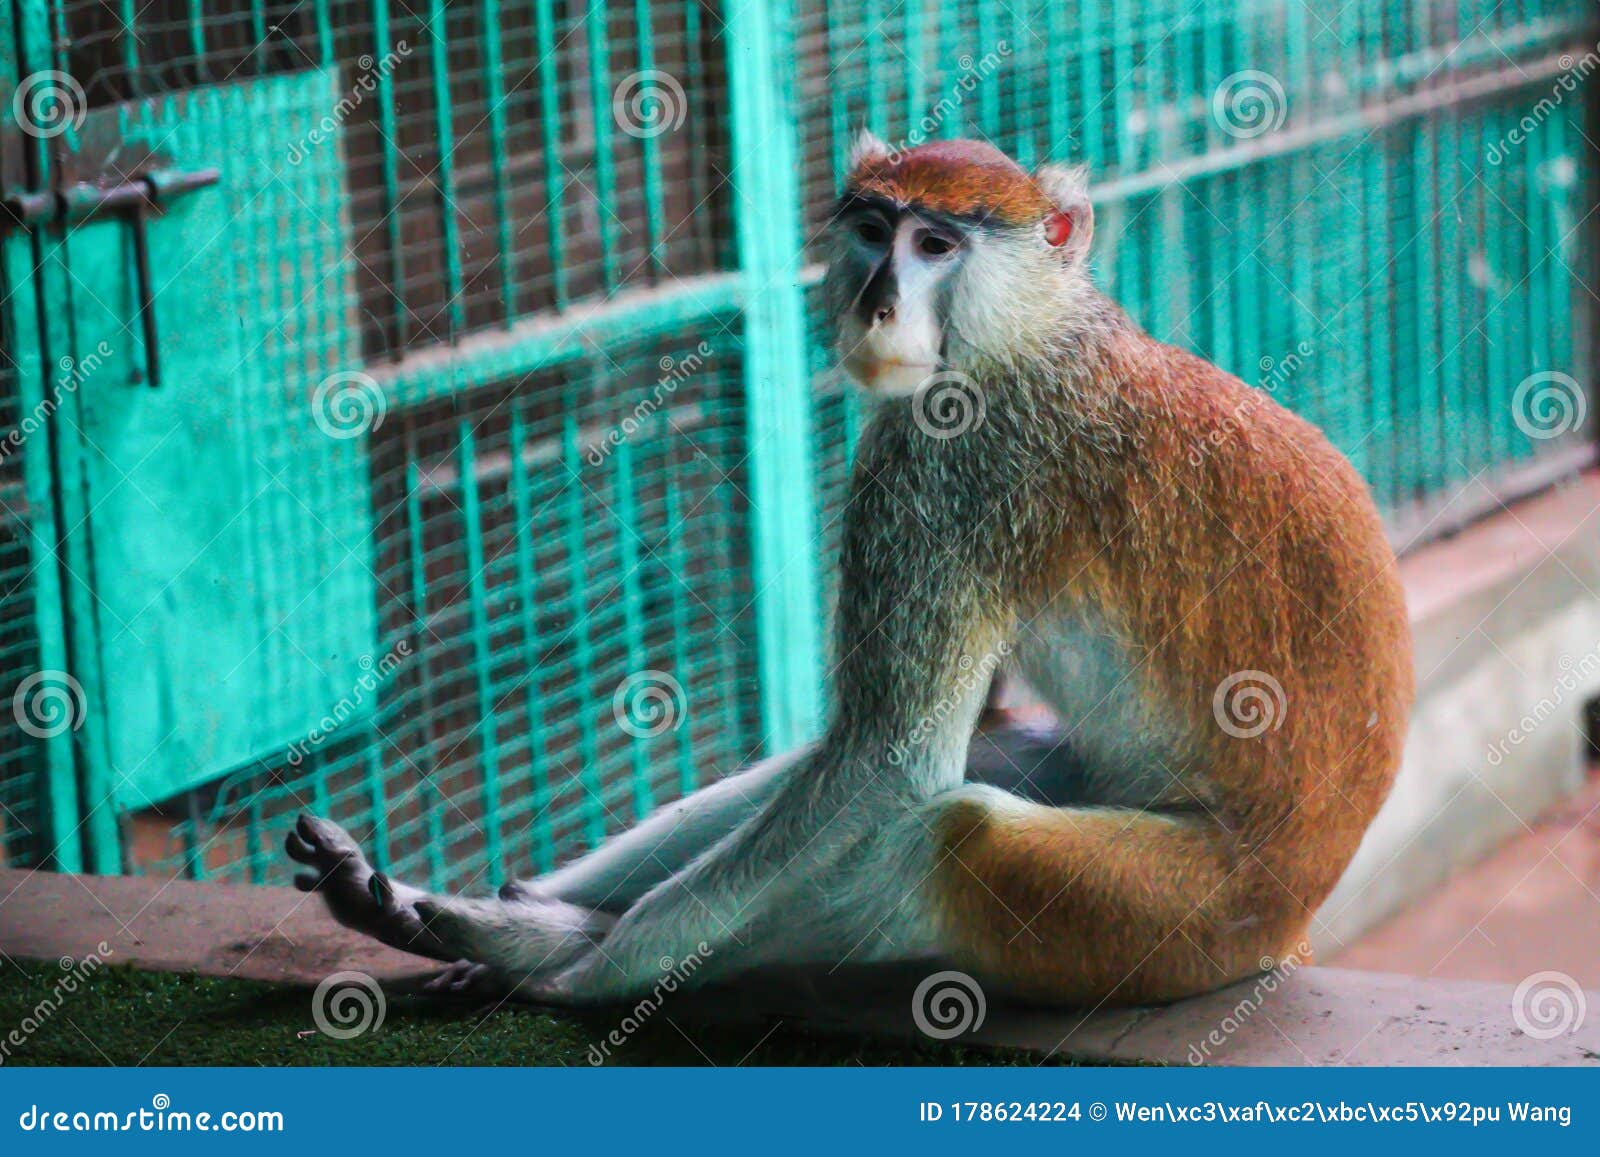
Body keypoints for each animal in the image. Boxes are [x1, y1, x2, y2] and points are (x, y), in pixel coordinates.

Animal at [286, 133, 1412, 1009]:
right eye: (872, 229)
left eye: (935, 244)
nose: (875, 303)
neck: (1038, 330)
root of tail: (1296, 906)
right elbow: (904, 748)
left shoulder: (945, 468)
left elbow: (886, 768)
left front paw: (588, 970)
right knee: (980, 770)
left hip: (1178, 919)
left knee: (960, 834)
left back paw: (529, 942)